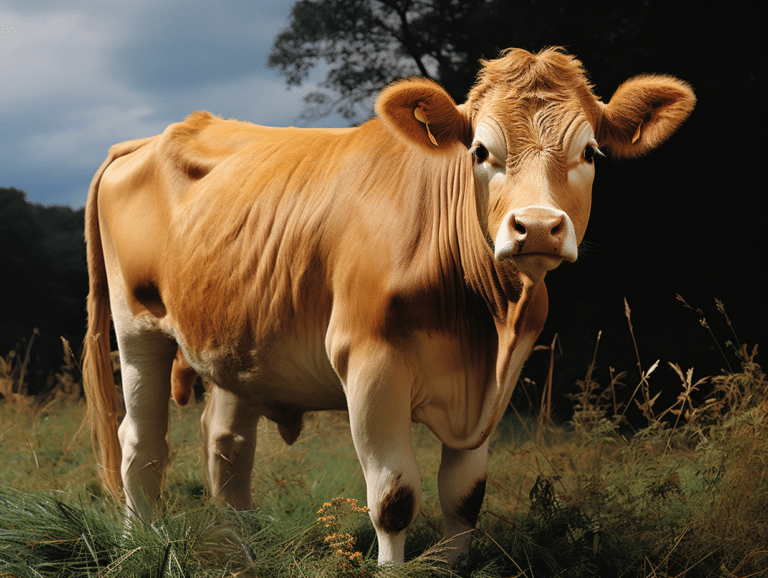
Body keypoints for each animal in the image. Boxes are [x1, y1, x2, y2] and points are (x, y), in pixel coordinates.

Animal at [83, 47, 694, 565]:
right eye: (480, 151)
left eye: (589, 152)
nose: (538, 226)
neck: (483, 326)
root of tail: (146, 139)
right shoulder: (370, 364)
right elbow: (394, 496)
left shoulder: (497, 384)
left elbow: (465, 496)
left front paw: (451, 566)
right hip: (136, 327)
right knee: (141, 442)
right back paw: (139, 544)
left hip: (238, 340)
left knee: (226, 444)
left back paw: (241, 549)